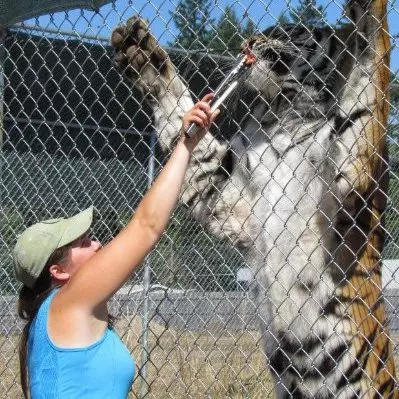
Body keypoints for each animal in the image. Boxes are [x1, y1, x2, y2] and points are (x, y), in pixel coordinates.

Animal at [111, 0, 396, 398]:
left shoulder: (351, 171)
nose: (247, 41)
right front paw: (141, 53)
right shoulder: (226, 195)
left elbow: (371, 62)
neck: (282, 116)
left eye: (286, 31)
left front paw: (368, 13)